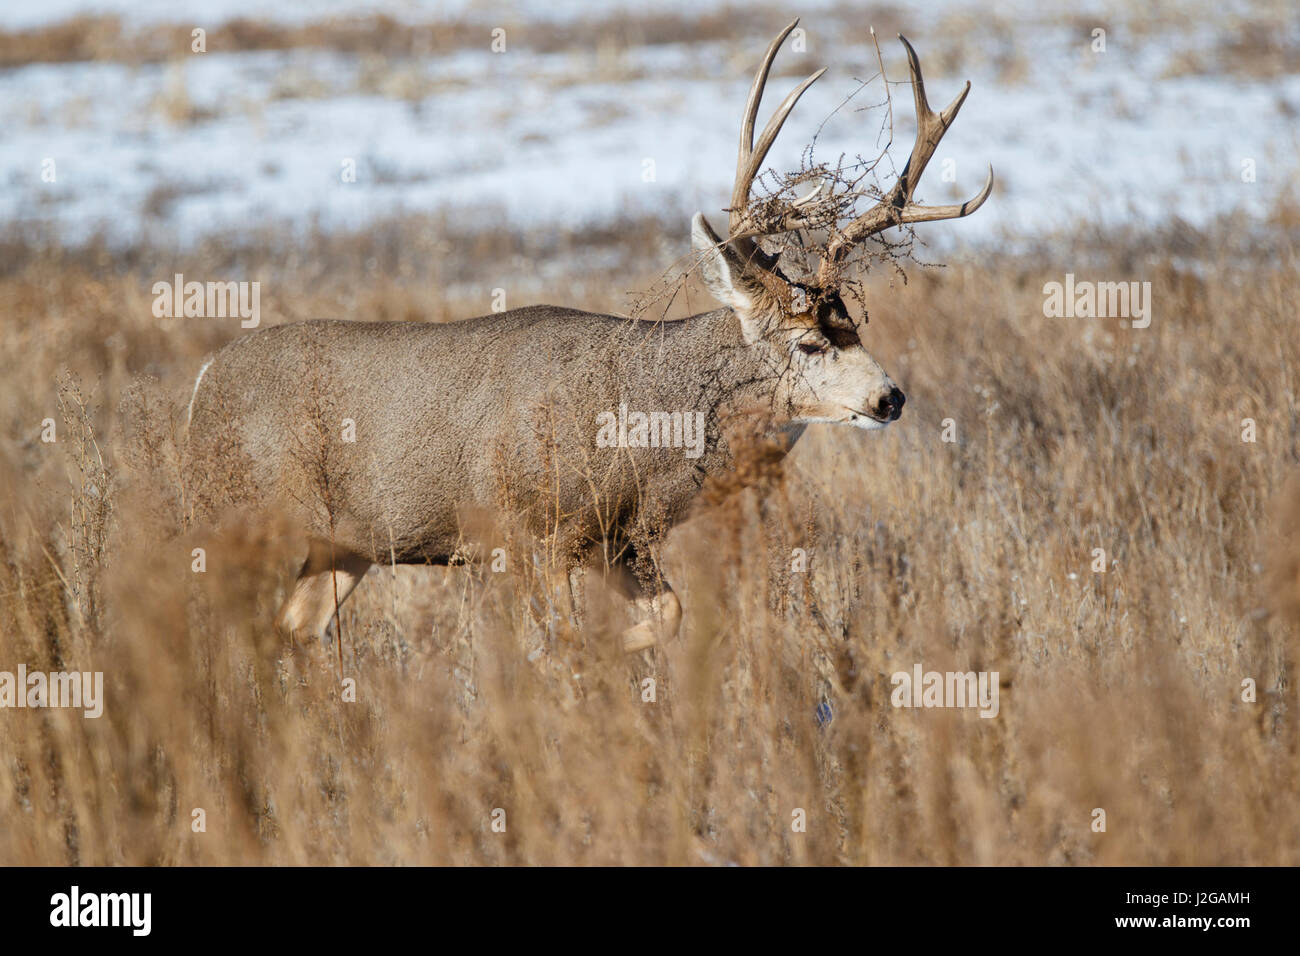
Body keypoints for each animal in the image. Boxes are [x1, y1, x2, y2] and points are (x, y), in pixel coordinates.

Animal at [182, 20, 992, 654]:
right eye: (809, 344)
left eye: (853, 323)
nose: (890, 398)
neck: (641, 425)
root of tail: (200, 385)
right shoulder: (523, 532)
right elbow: (555, 637)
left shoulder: (617, 541)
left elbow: (667, 614)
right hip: (239, 513)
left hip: (342, 545)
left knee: (292, 628)